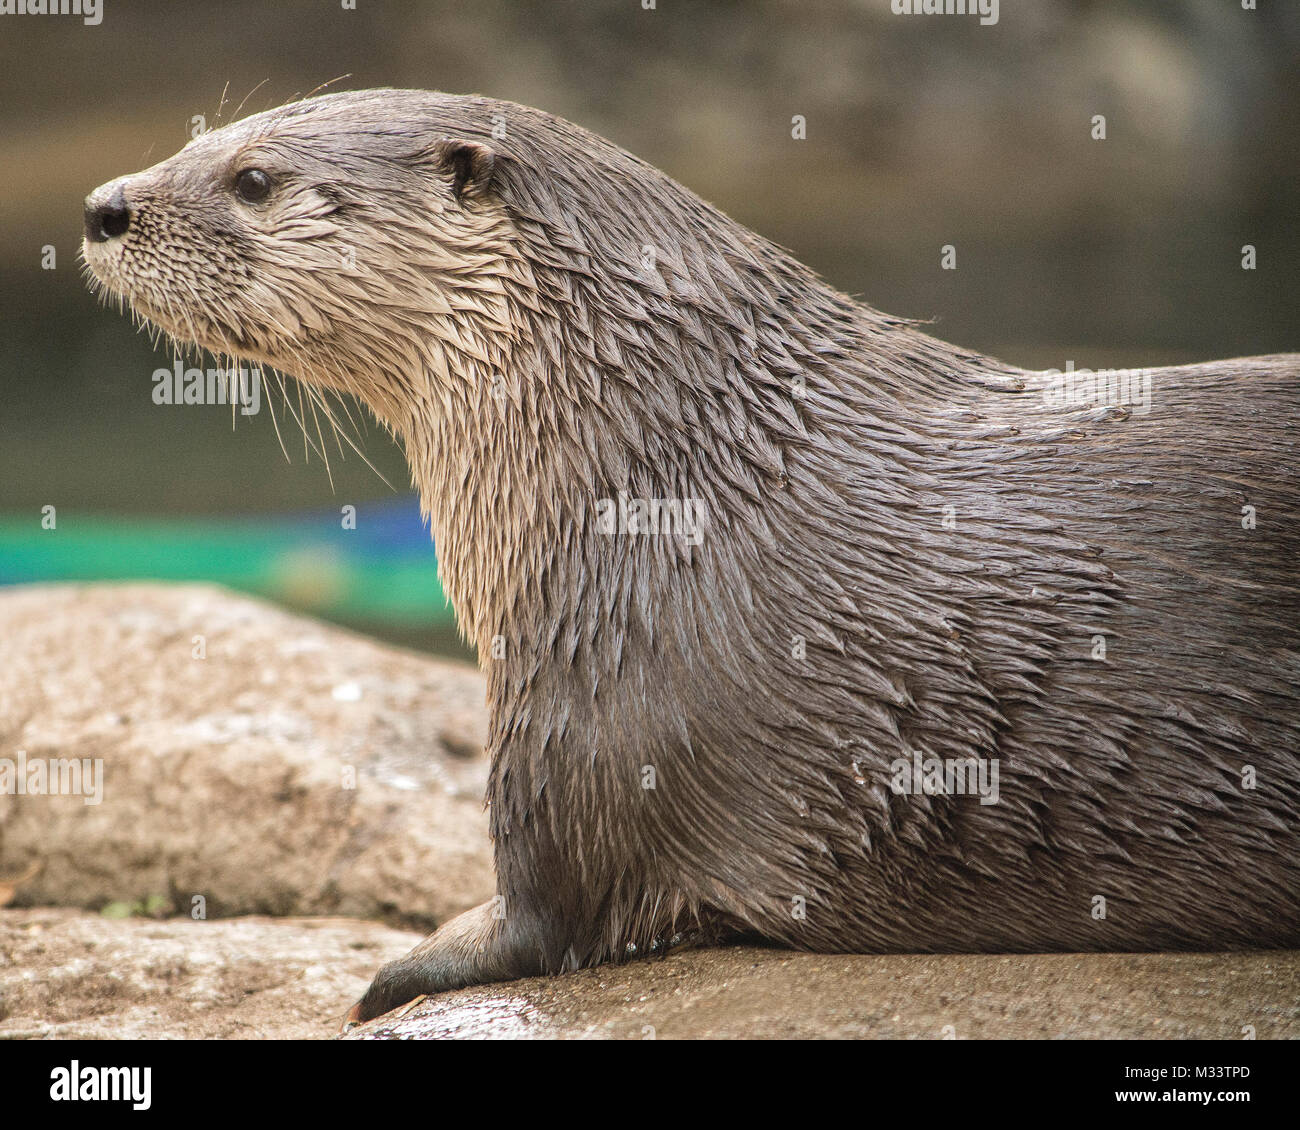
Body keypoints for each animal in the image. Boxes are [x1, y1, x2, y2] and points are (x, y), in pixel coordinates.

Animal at [81, 89, 1300, 1025]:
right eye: (206, 137)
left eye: (253, 178)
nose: (103, 205)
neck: (662, 485)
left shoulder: (582, 725)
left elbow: (546, 912)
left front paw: (406, 965)